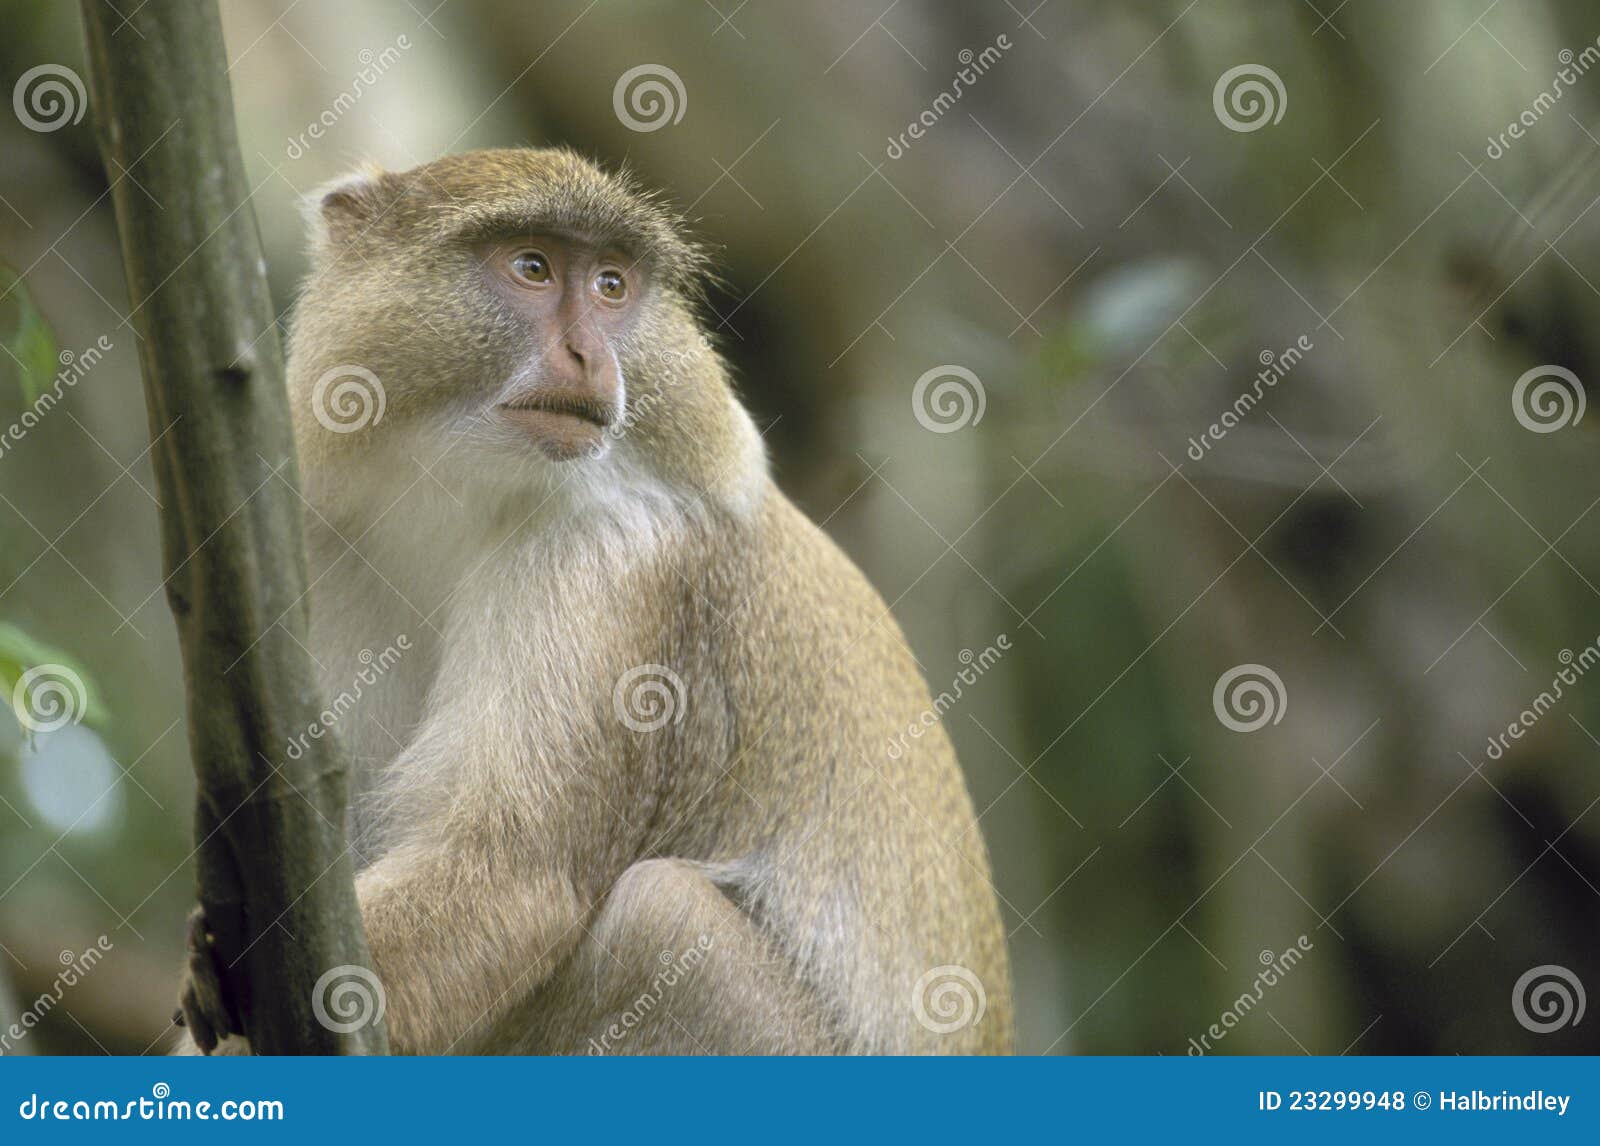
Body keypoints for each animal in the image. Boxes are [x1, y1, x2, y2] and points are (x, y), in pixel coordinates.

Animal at [178, 148, 1012, 1055]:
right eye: (533, 268)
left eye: (612, 285)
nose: (589, 354)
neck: (454, 500)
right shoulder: (321, 539)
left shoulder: (609, 555)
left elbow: (511, 877)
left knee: (662, 919)